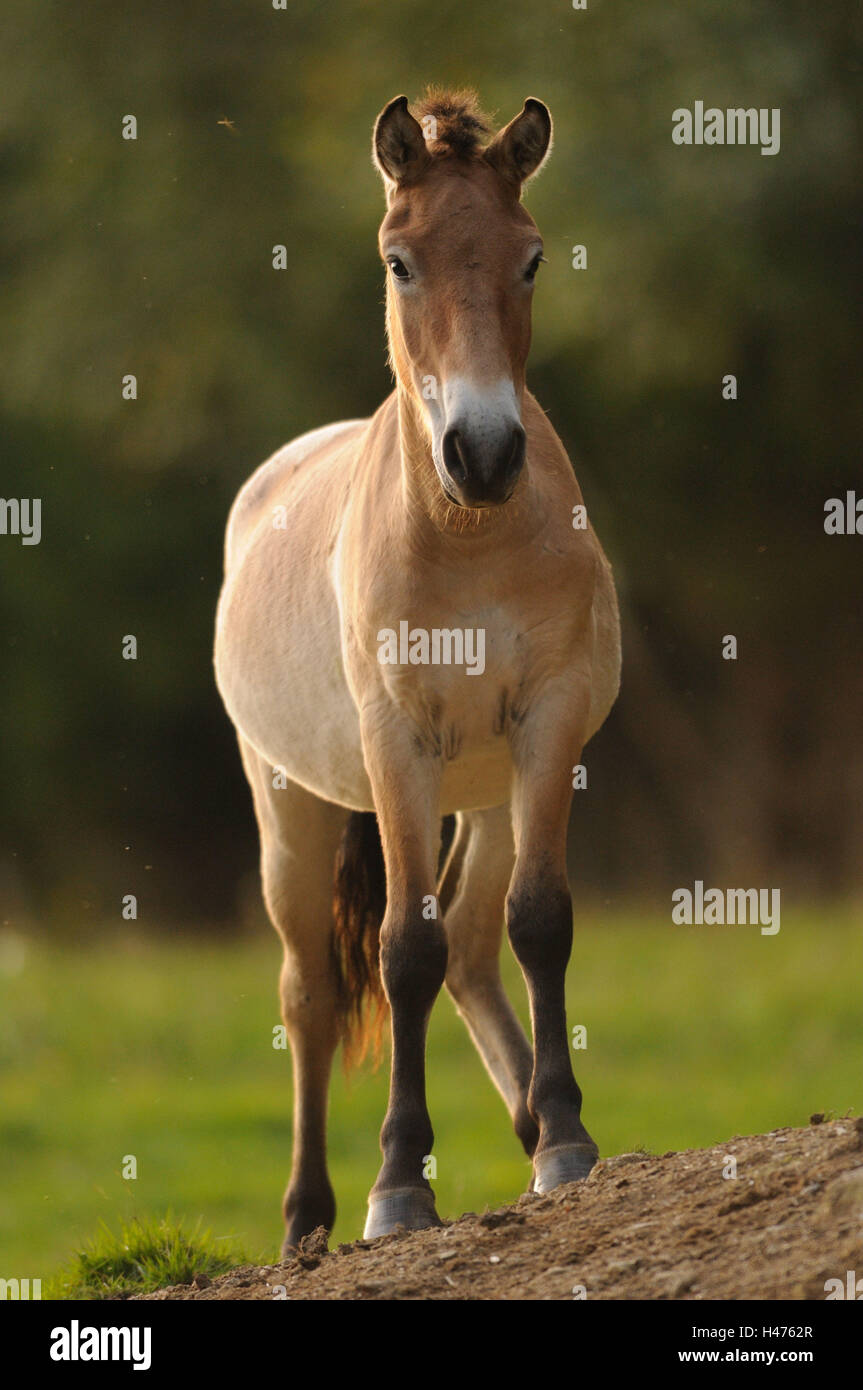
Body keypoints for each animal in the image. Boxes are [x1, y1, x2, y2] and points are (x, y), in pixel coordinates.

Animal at [214, 89, 621, 1252]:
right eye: (399, 261)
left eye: (530, 258)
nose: (481, 454)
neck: (468, 536)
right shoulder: (396, 746)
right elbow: (403, 951)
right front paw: (399, 1187)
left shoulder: (547, 725)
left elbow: (540, 922)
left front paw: (566, 1142)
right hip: (289, 802)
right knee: (309, 989)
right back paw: (306, 1219)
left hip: (485, 788)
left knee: (480, 942)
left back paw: (531, 1118)